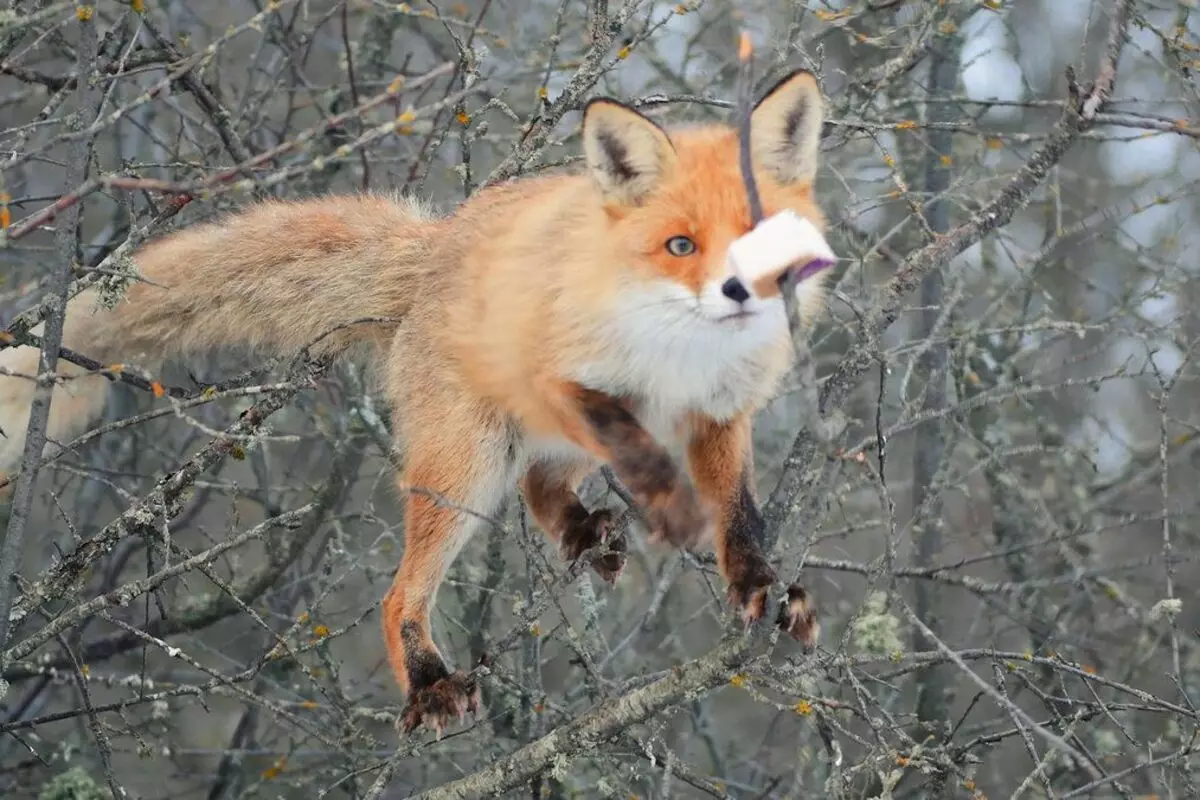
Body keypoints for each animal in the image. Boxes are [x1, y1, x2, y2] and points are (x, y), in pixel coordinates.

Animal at [0, 70, 825, 738]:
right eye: (681, 246)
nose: (739, 295)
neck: (676, 358)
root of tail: (439, 243)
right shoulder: (564, 379)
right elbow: (637, 450)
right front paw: (675, 513)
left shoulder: (723, 411)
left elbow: (740, 514)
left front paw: (759, 585)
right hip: (467, 467)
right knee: (404, 592)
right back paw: (429, 681)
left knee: (541, 481)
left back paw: (583, 530)